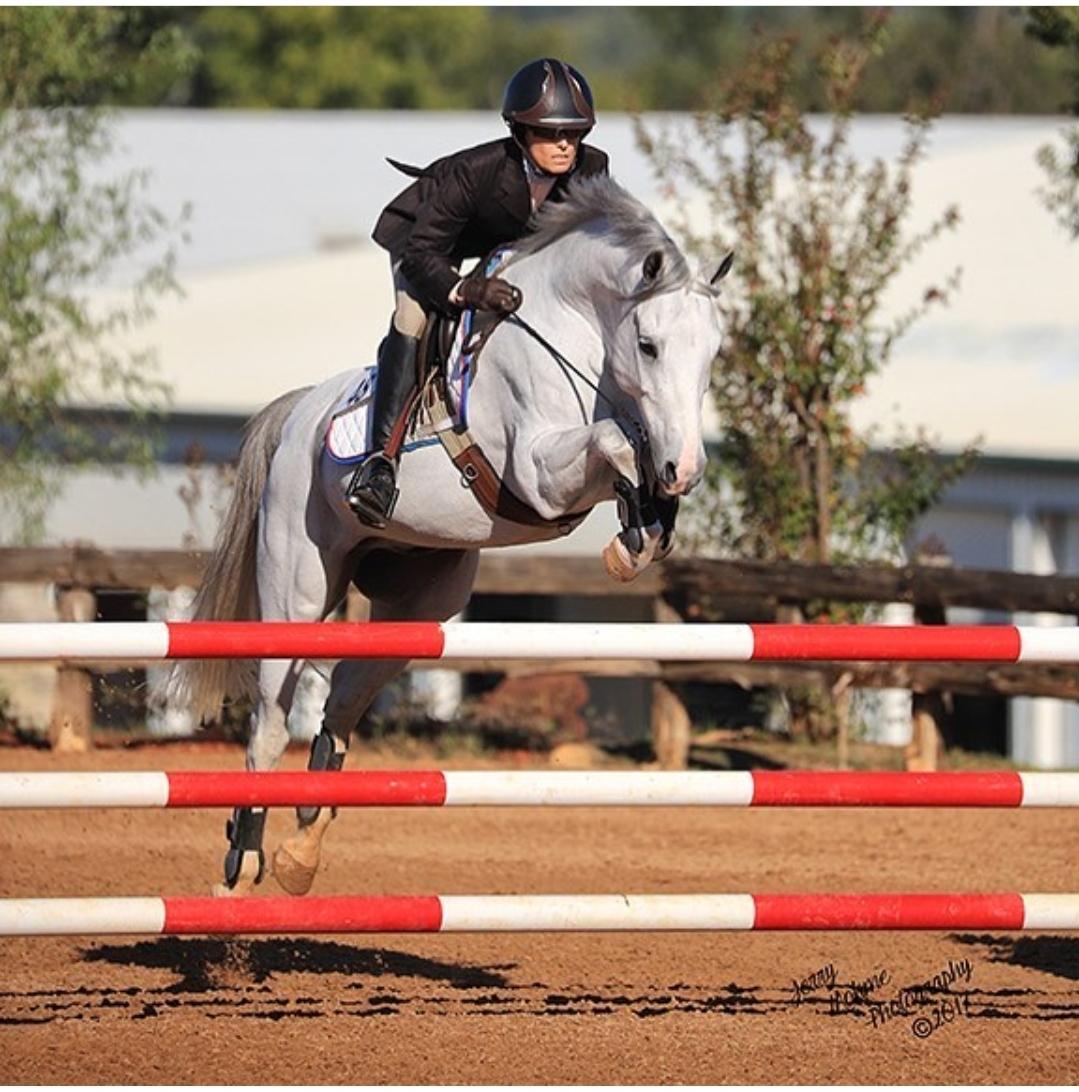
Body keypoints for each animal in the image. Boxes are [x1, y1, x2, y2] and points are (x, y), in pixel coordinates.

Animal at [168, 175, 731, 896]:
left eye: (713, 353)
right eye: (650, 345)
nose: (686, 468)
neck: (574, 332)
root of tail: (298, 413)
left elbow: (631, 454)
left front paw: (645, 528)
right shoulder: (538, 476)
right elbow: (612, 441)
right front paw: (631, 537)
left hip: (417, 607)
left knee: (344, 698)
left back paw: (302, 850)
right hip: (297, 591)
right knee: (270, 719)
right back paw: (243, 864)